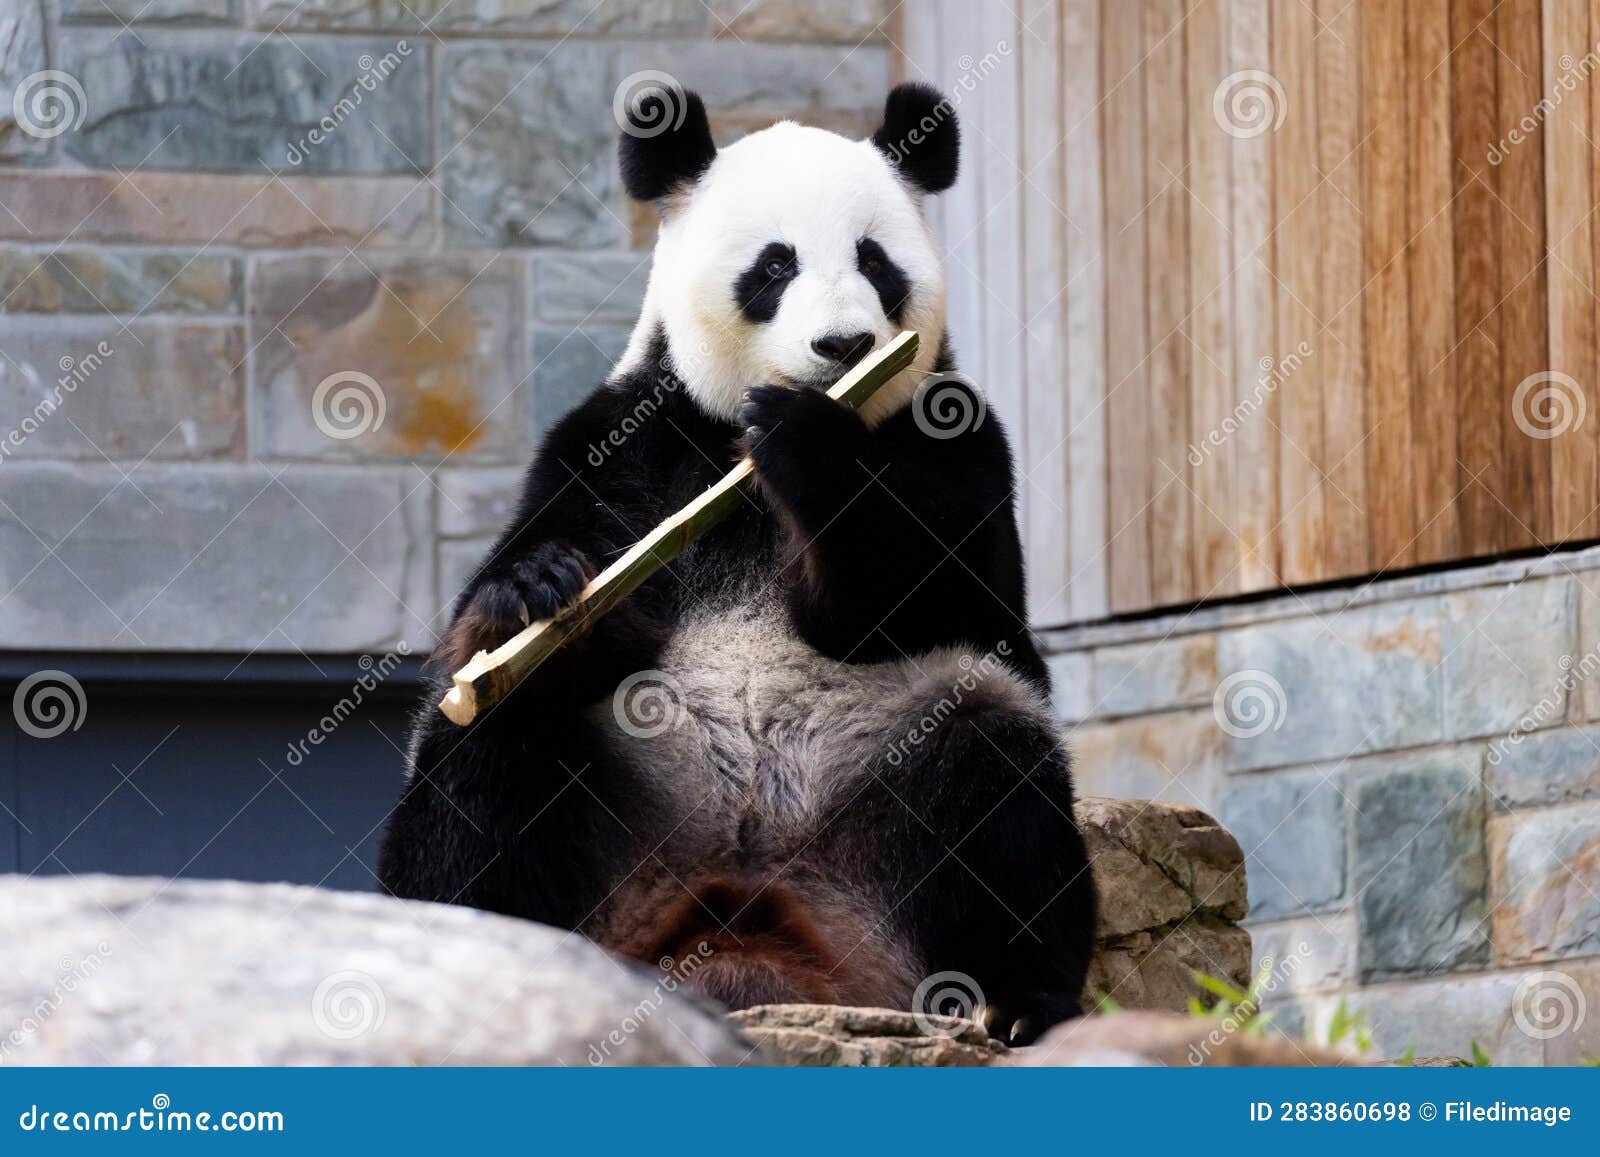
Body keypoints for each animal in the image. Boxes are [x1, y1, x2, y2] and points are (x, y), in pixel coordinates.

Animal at [377, 81, 1098, 1045]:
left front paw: (812, 447)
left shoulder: (959, 435)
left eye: (876, 261)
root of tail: (747, 933)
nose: (843, 346)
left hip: (895, 788)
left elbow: (913, 595)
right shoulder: (622, 440)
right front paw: (534, 592)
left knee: (999, 780)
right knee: (485, 755)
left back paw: (1021, 1003)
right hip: (611, 833)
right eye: (774, 267)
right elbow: (550, 586)